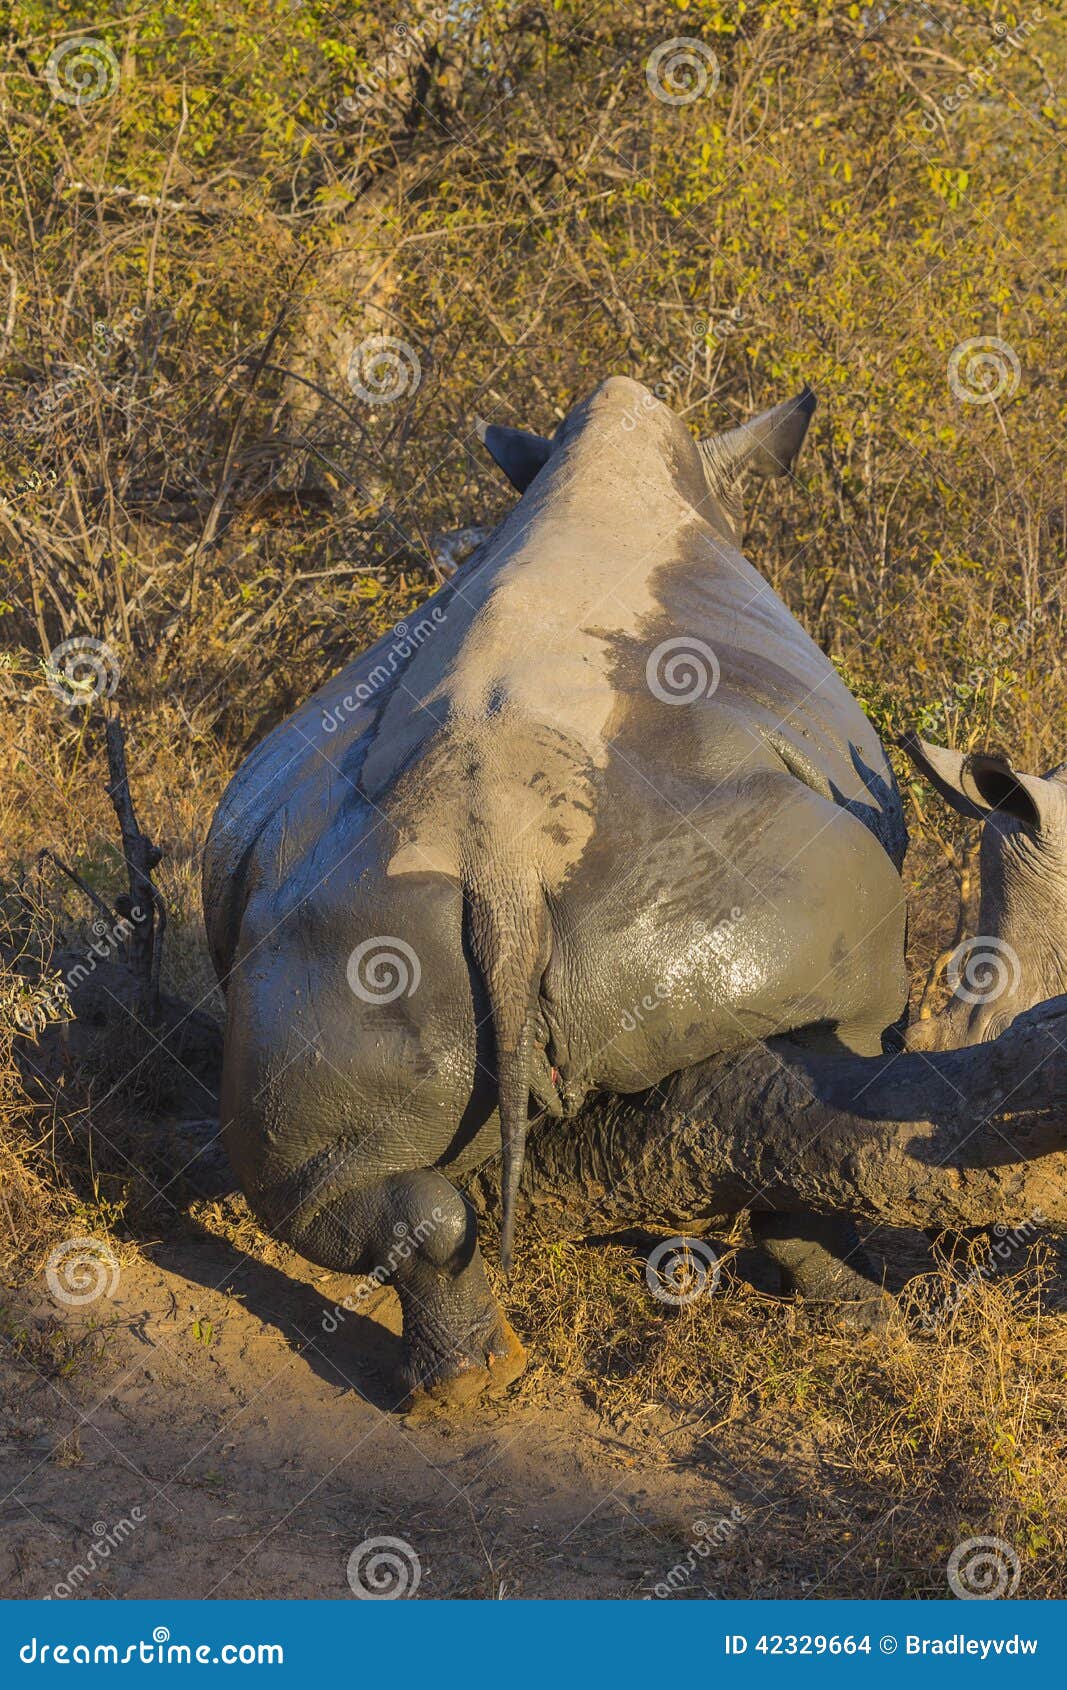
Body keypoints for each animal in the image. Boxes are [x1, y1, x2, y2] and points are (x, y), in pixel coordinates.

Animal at [202, 375, 957, 1410]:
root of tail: (502, 862)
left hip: (341, 933)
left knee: (324, 1182)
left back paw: (467, 1385)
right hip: (749, 874)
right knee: (835, 1051)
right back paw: (864, 1314)